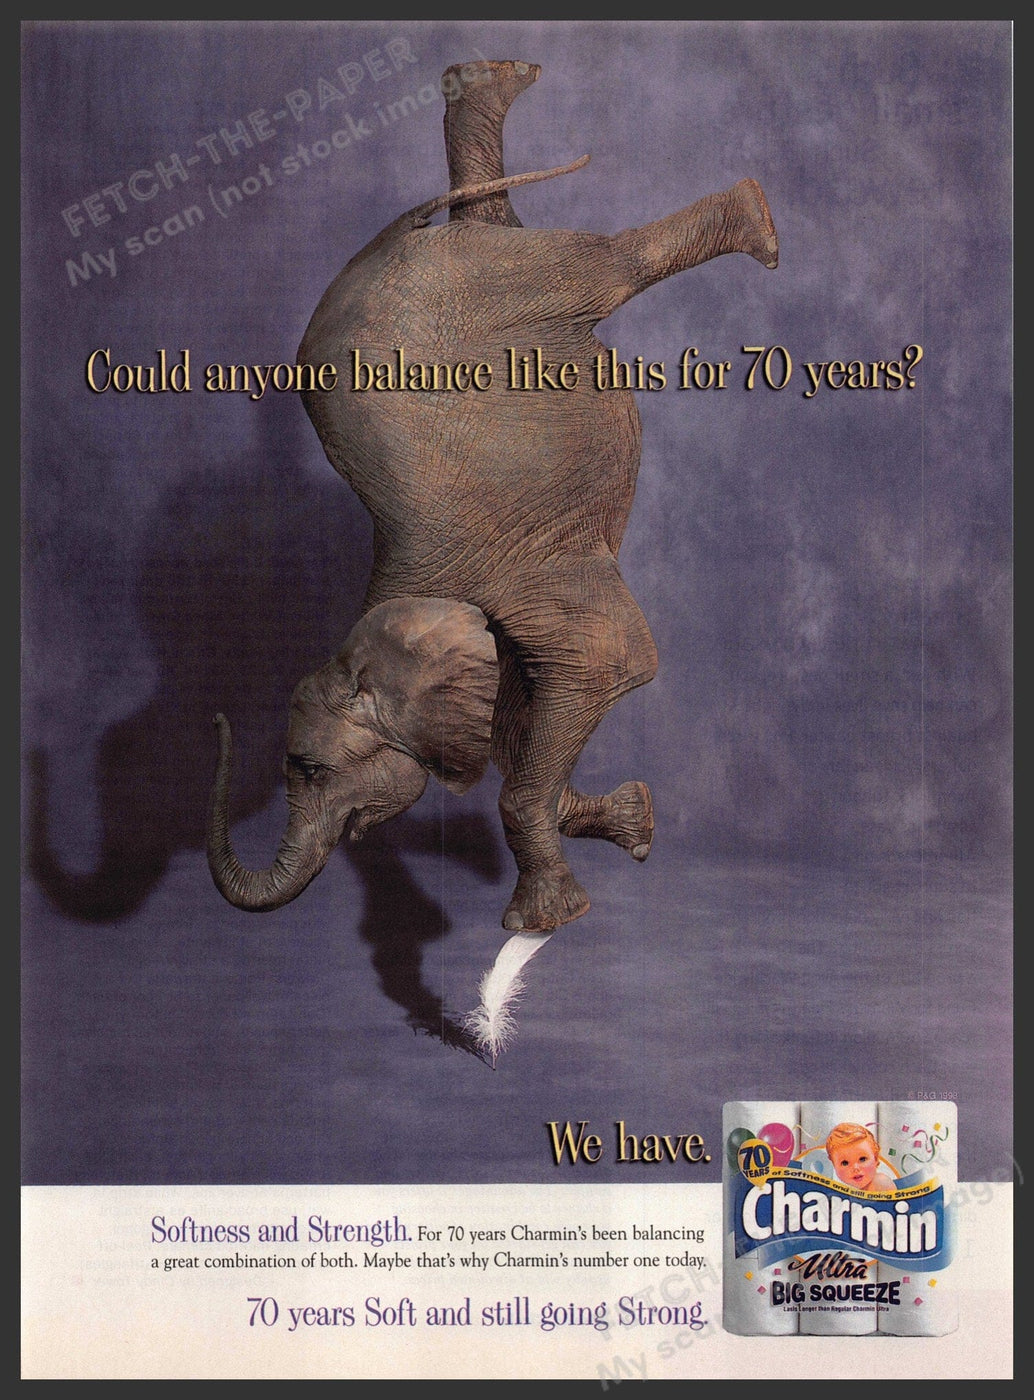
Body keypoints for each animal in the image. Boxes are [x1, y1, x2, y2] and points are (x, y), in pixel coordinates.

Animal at [208, 59, 778, 933]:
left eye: (308, 768)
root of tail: (406, 236)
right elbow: (520, 730)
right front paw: (631, 826)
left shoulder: (516, 570)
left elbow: (611, 666)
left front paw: (541, 922)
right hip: (498, 262)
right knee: (508, 218)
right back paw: (489, 80)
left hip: (517, 278)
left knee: (608, 265)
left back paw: (760, 224)